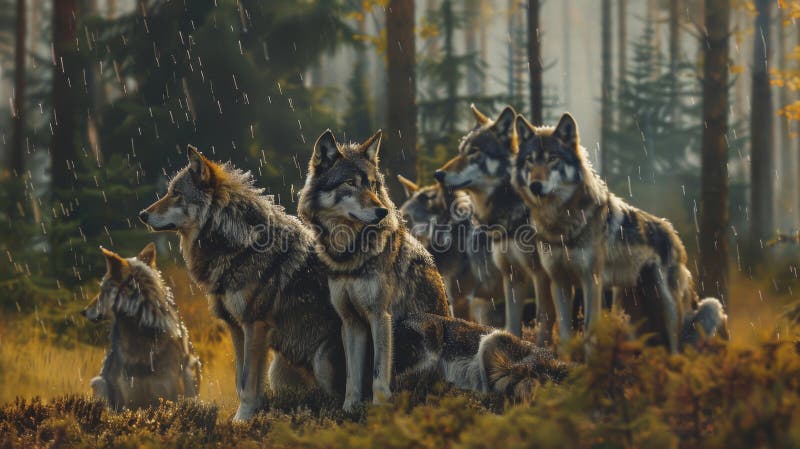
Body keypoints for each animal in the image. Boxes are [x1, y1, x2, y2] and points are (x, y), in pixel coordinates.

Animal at [139, 147, 345, 421]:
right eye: (168, 192)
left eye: (176, 194)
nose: (142, 215)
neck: (239, 247)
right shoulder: (235, 326)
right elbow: (240, 380)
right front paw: (243, 418)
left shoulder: (253, 324)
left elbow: (247, 384)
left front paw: (242, 421)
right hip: (279, 369)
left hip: (320, 361)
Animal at [297, 129, 451, 411]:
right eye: (350, 183)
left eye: (371, 184)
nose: (382, 211)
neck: (349, 254)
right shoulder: (350, 321)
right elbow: (353, 376)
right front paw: (349, 409)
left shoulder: (380, 316)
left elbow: (379, 373)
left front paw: (379, 409)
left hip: (412, 327)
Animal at [433, 105, 555, 344]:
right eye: (461, 151)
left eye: (474, 151)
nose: (438, 173)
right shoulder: (512, 274)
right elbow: (513, 326)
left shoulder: (540, 274)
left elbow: (544, 320)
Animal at [511, 113, 728, 352]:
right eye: (530, 160)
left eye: (552, 159)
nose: (535, 186)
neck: (560, 224)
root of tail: (674, 234)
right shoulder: (559, 281)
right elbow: (566, 333)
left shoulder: (591, 281)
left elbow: (589, 330)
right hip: (627, 305)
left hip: (668, 304)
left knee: (675, 344)